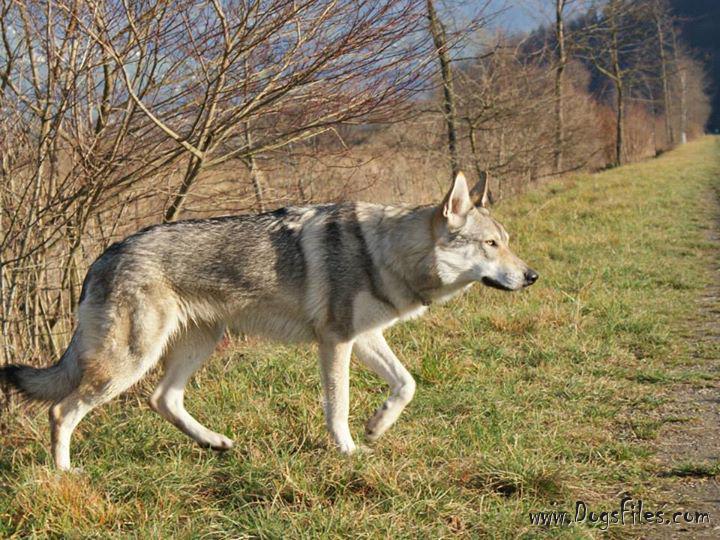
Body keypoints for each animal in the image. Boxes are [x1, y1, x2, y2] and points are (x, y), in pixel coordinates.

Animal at [0, 173, 537, 470]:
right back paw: (65, 475)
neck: (385, 253)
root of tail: (101, 256)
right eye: (492, 245)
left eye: (509, 241)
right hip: (130, 360)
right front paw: (348, 451)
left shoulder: (364, 337)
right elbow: (337, 407)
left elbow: (406, 385)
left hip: (197, 344)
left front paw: (376, 428)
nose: (532, 276)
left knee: (162, 399)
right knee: (60, 411)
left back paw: (215, 443)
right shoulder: (336, 342)